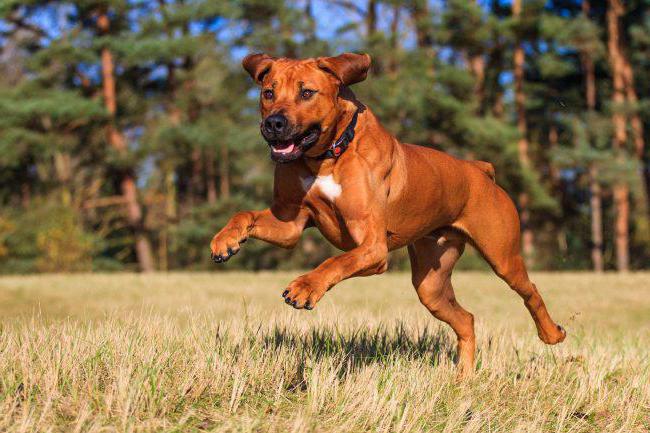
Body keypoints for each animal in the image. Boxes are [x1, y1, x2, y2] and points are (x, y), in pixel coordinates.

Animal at [210, 51, 564, 374]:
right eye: (268, 93)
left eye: (307, 92)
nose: (273, 123)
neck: (326, 155)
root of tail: (478, 170)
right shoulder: (290, 224)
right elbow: (245, 215)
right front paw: (225, 240)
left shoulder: (373, 247)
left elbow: (335, 261)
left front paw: (307, 286)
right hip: (431, 284)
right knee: (466, 320)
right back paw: (463, 379)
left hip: (502, 255)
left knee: (530, 291)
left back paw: (552, 334)